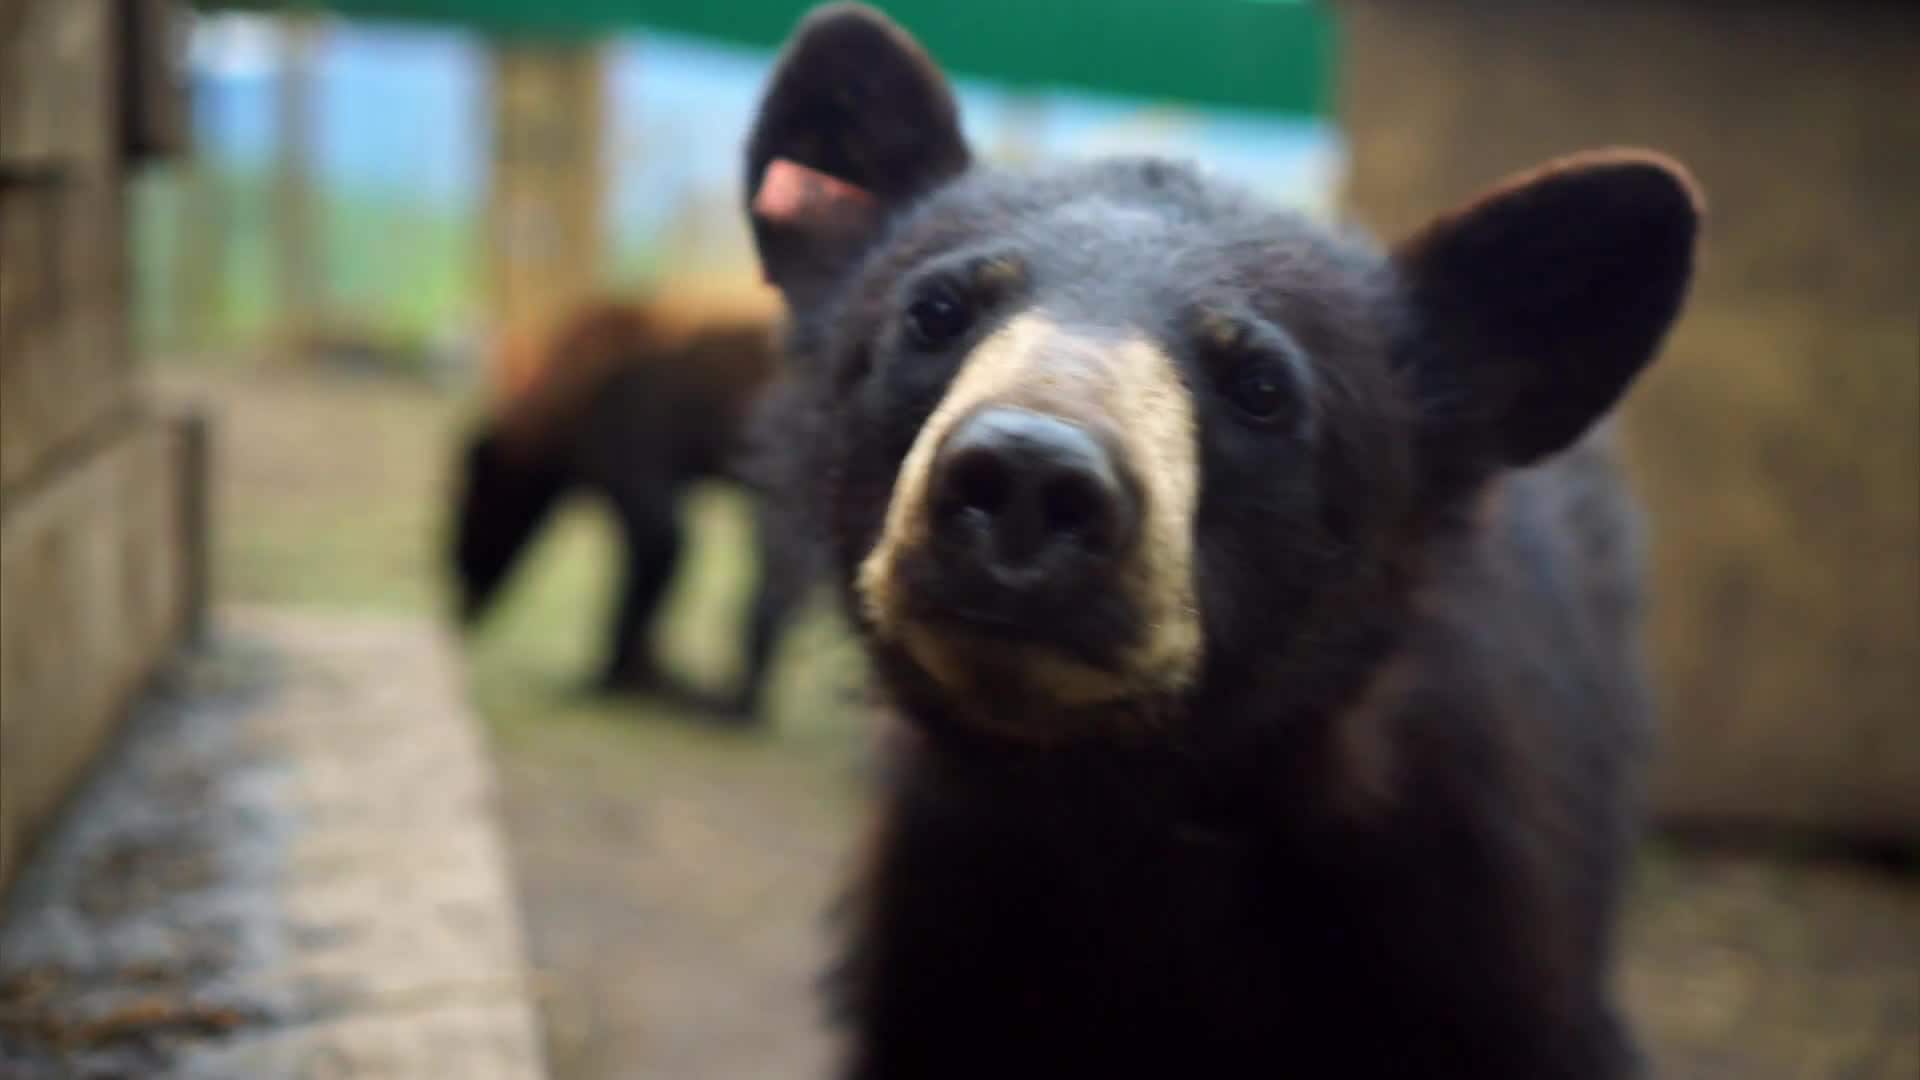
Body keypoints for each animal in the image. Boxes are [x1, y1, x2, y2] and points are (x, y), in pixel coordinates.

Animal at [448, 291, 807, 722]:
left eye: (469, 506)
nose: (456, 598)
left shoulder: (630, 446)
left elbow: (659, 543)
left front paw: (614, 676)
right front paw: (642, 674)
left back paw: (733, 704)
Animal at [739, 6, 1701, 1077]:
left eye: (1263, 387)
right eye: (936, 312)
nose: (1028, 476)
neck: (1124, 799)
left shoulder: (1479, 915)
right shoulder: (947, 917)